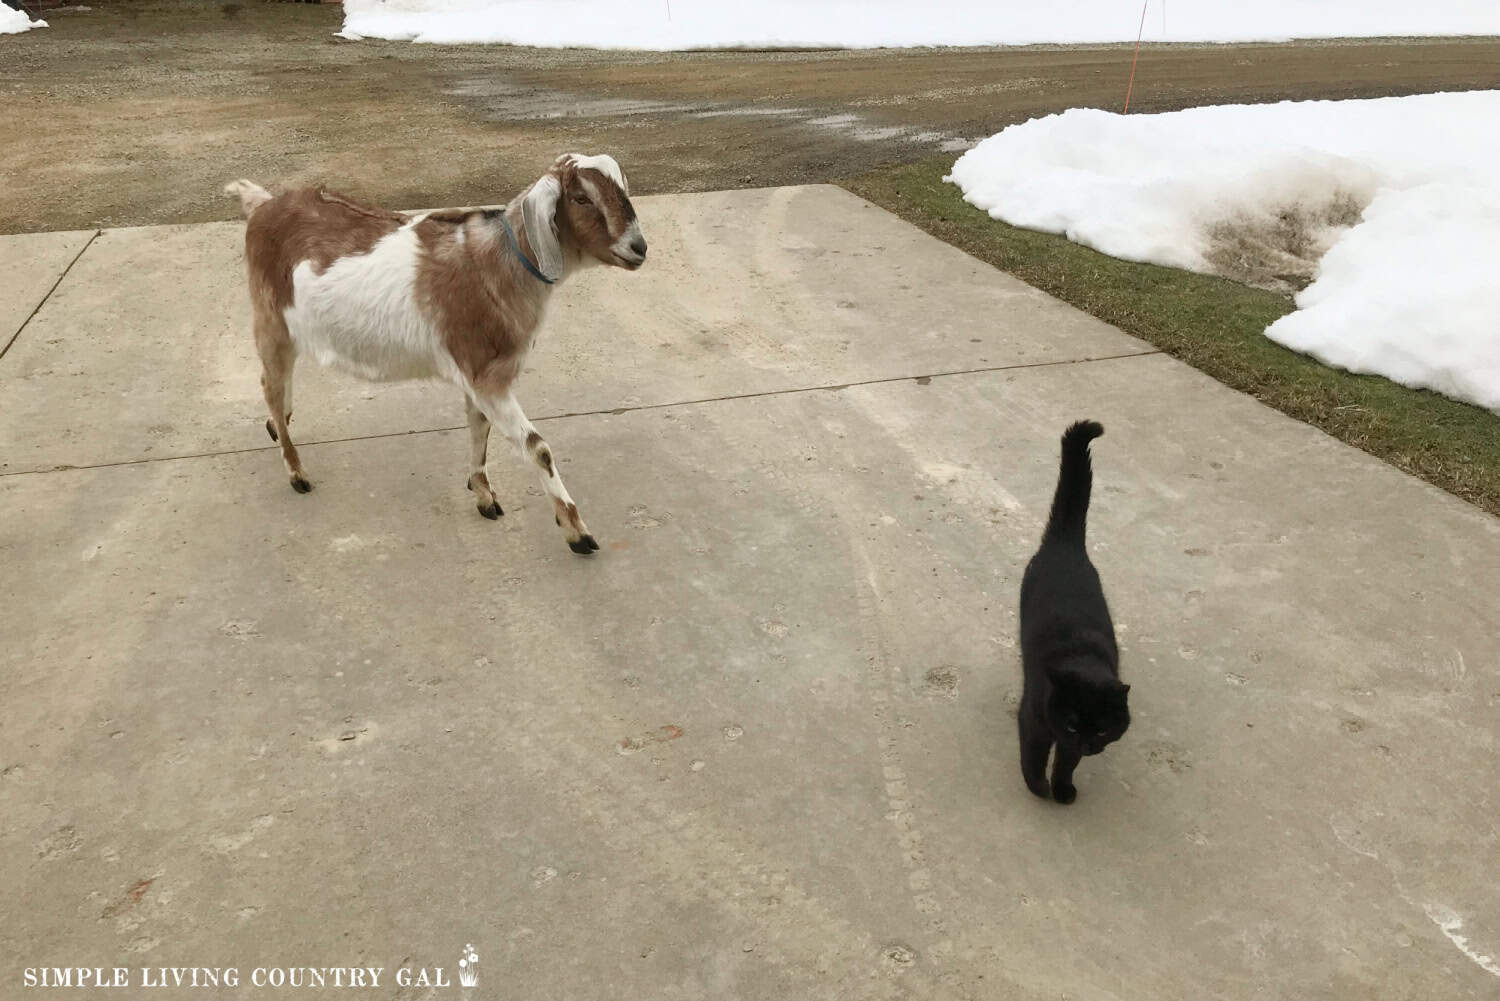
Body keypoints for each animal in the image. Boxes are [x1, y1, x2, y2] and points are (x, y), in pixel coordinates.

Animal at [224, 153, 647, 555]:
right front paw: (577, 533)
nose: (639, 247)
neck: (500, 263)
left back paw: (278, 425)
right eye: (580, 198)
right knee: (270, 384)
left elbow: (479, 427)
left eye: (623, 187)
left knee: (281, 384)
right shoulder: (487, 377)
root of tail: (261, 204)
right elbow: (538, 448)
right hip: (270, 320)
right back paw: (296, 471)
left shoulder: (478, 377)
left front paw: (483, 494)